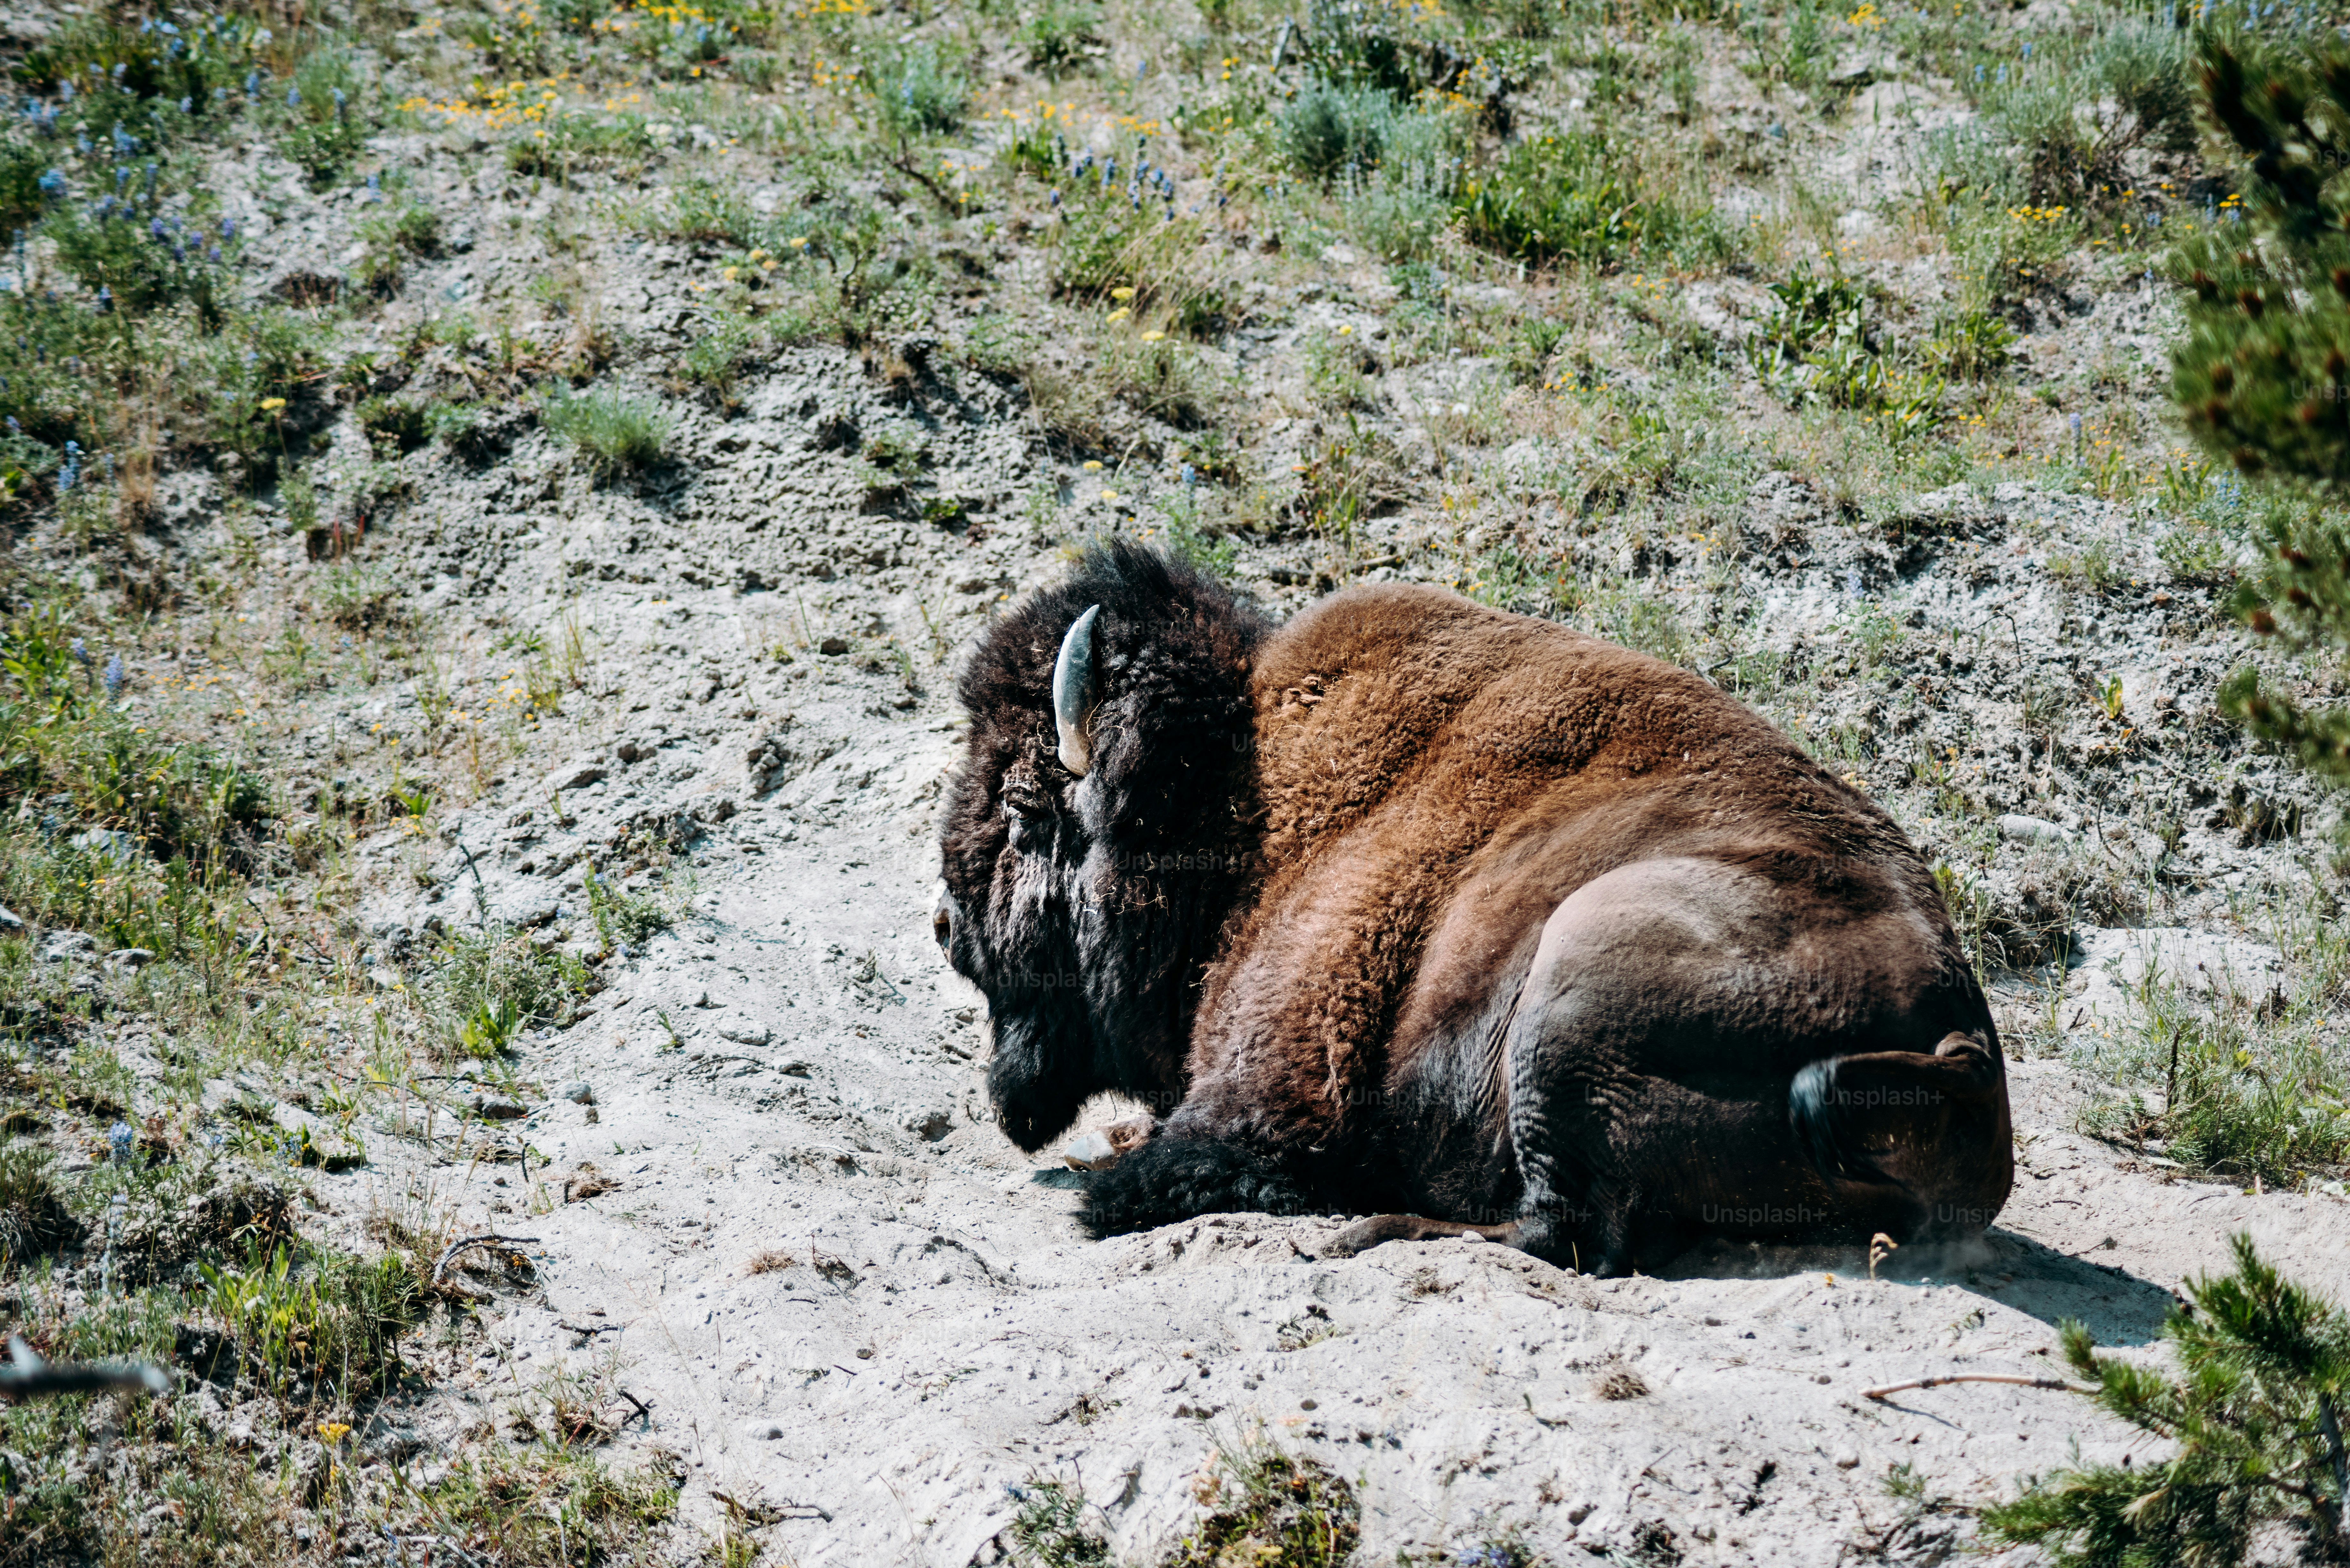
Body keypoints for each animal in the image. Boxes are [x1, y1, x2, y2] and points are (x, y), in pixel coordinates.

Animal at [933, 541, 2011, 1274]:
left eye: (1022, 808)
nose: (945, 927)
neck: (1237, 792)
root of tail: (1958, 1030)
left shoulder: (1276, 1091)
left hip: (1573, 983)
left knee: (1566, 1231)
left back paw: (1372, 1228)